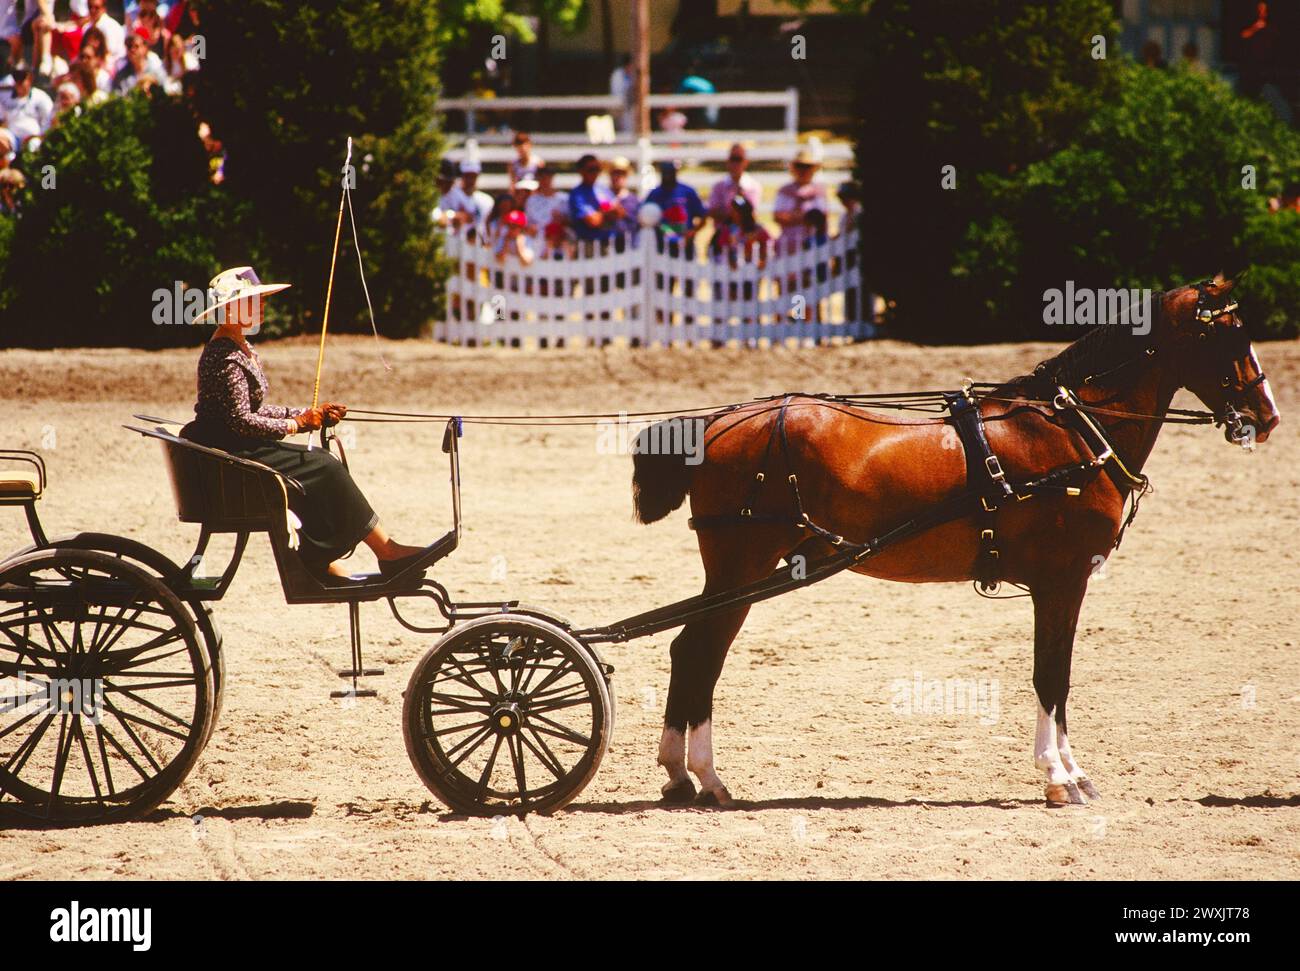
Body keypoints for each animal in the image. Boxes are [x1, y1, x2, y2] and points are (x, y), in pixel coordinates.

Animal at [629, 276, 1279, 811]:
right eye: (1229, 336)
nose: (1267, 415)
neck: (1067, 432)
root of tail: (717, 422)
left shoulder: (1060, 584)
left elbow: (1058, 678)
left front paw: (1071, 773)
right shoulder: (1061, 581)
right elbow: (1051, 676)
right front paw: (1060, 777)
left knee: (691, 653)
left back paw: (682, 777)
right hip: (742, 569)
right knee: (699, 654)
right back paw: (705, 776)